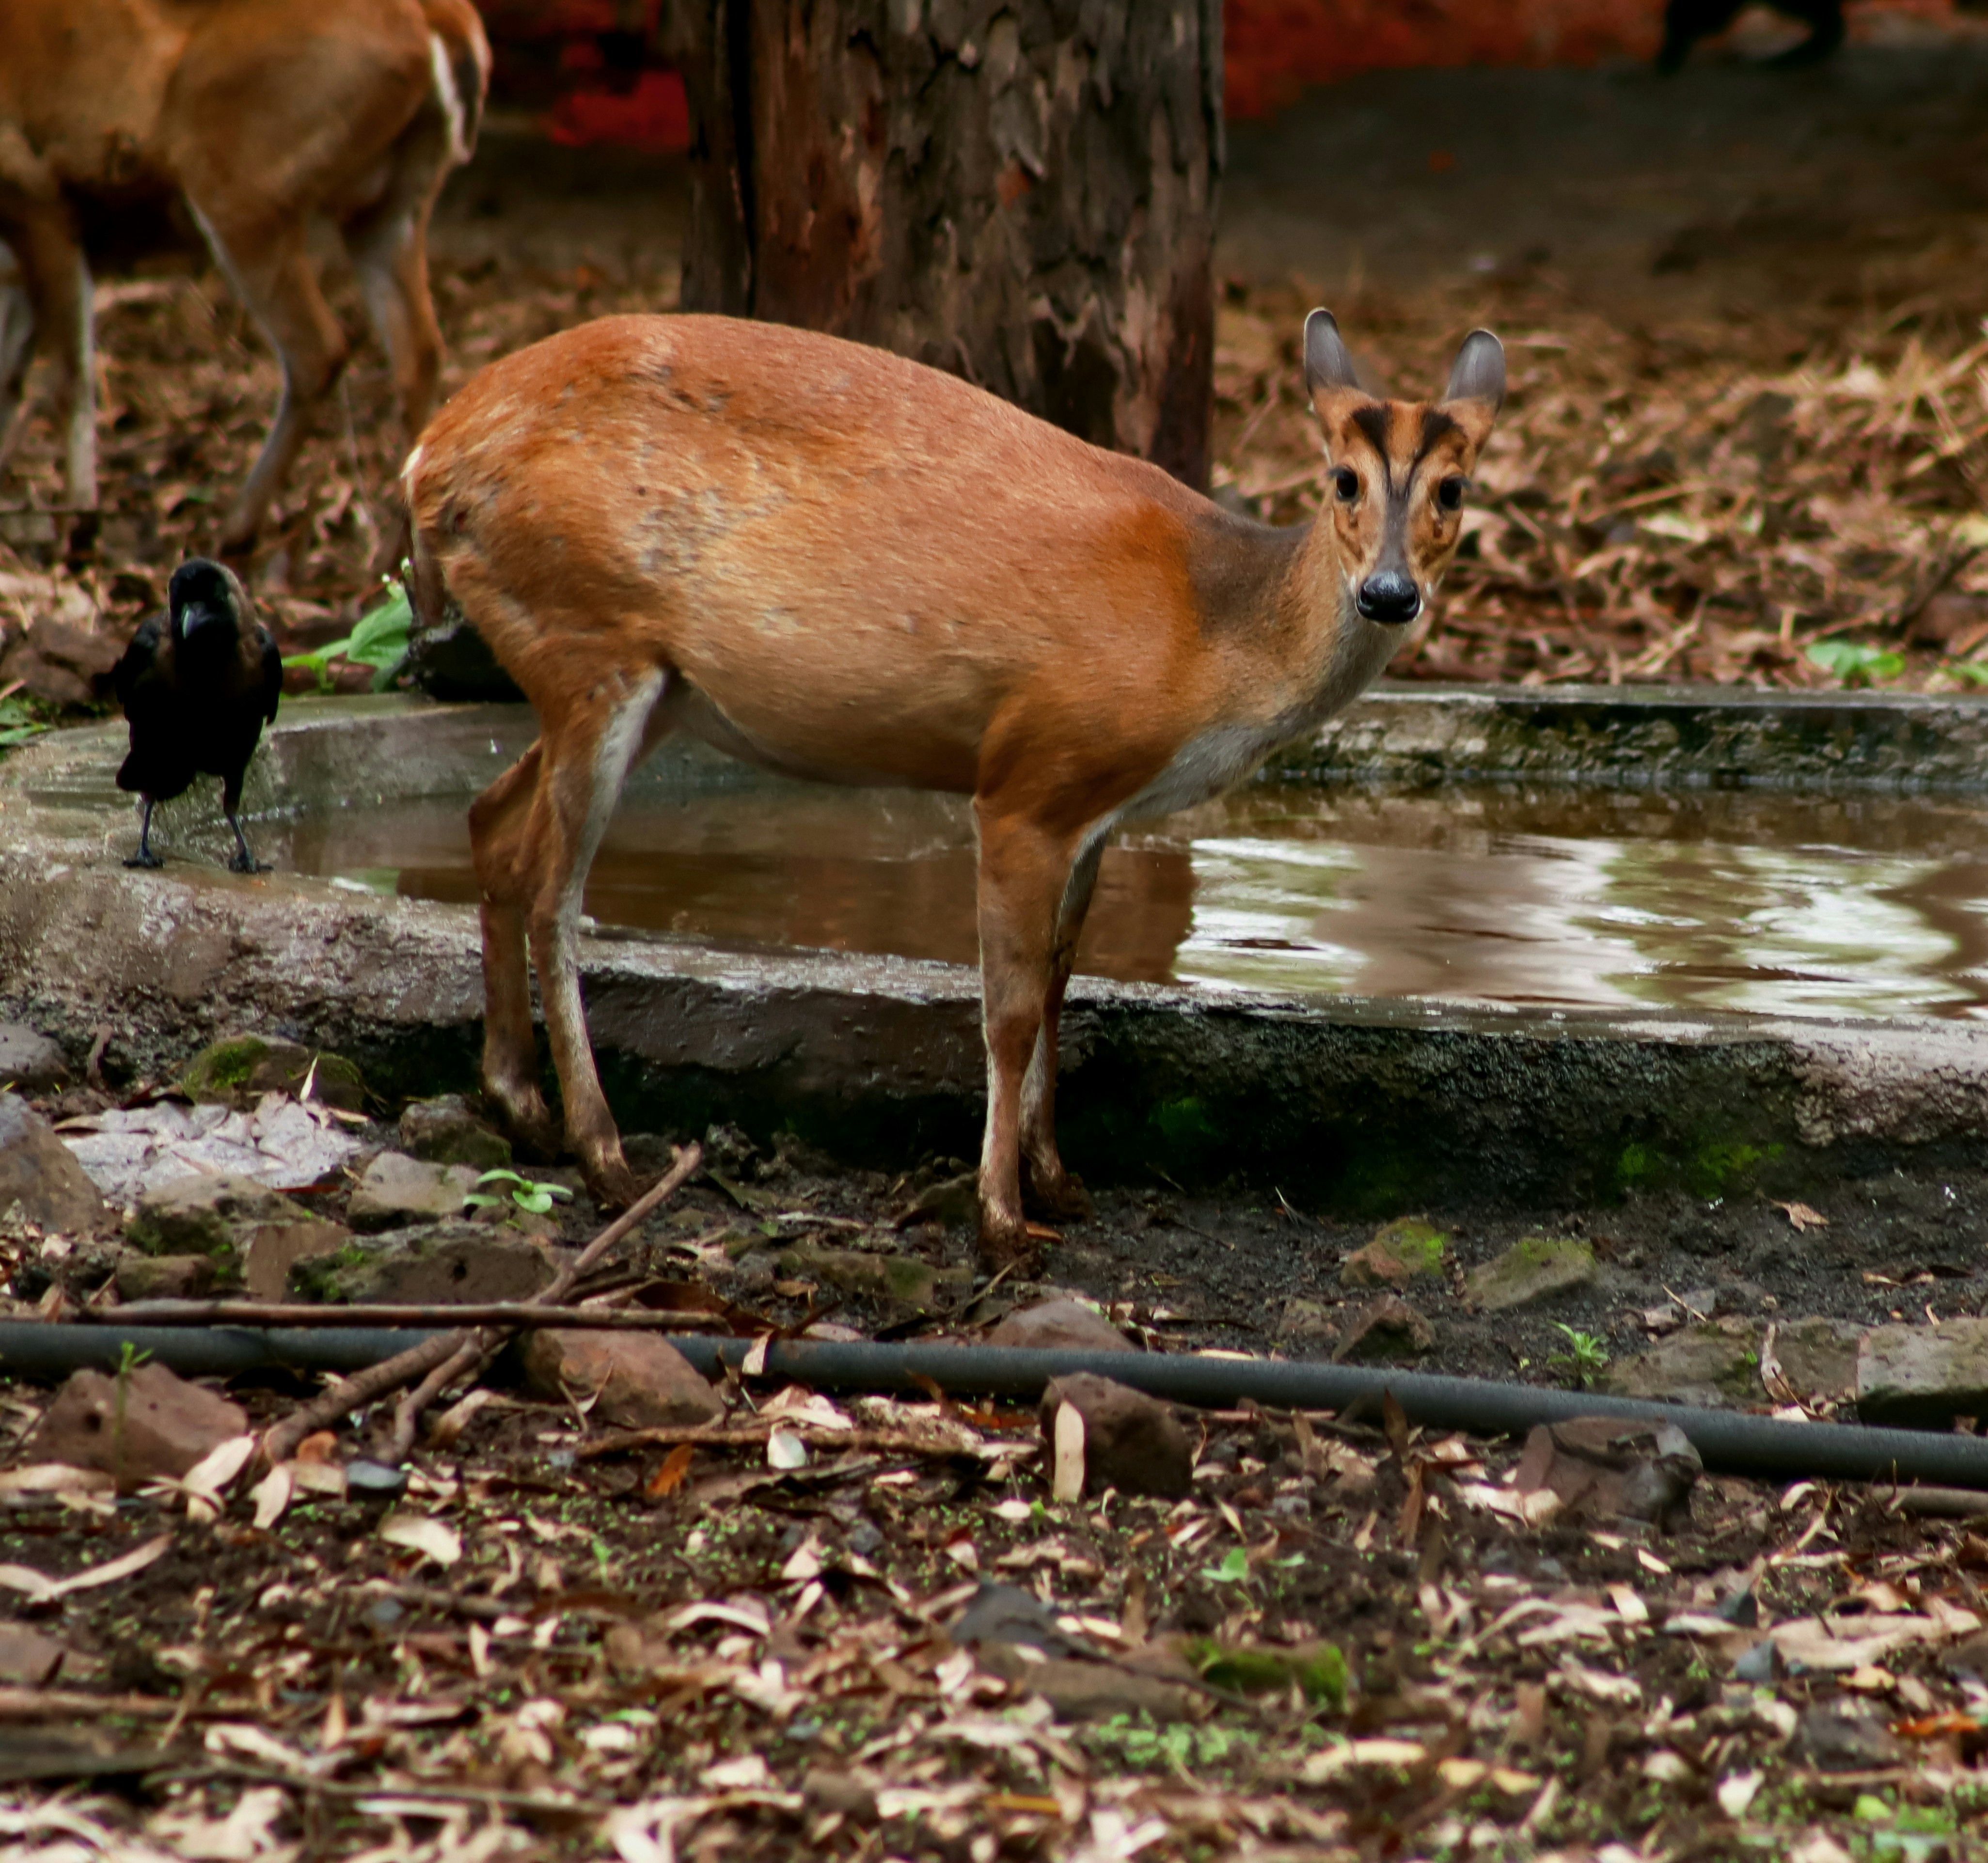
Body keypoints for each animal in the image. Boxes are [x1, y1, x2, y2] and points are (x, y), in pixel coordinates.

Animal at [0, 0, 489, 557]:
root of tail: (442, 19)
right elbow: (12, 373)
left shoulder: (37, 190)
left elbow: (68, 377)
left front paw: (80, 521)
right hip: (389, 203)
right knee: (419, 352)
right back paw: (390, 555)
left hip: (242, 184)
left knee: (320, 351)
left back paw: (236, 530)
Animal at [403, 309, 1506, 1270]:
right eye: (1342, 480)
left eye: (1455, 489)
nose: (1389, 593)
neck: (1212, 637)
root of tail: (427, 456)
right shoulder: (1029, 773)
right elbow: (1008, 1008)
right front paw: (1003, 1217)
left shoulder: (1095, 808)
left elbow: (1062, 984)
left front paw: (1059, 1180)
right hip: (588, 634)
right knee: (556, 892)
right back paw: (604, 1153)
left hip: (630, 681)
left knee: (491, 824)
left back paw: (518, 1103)